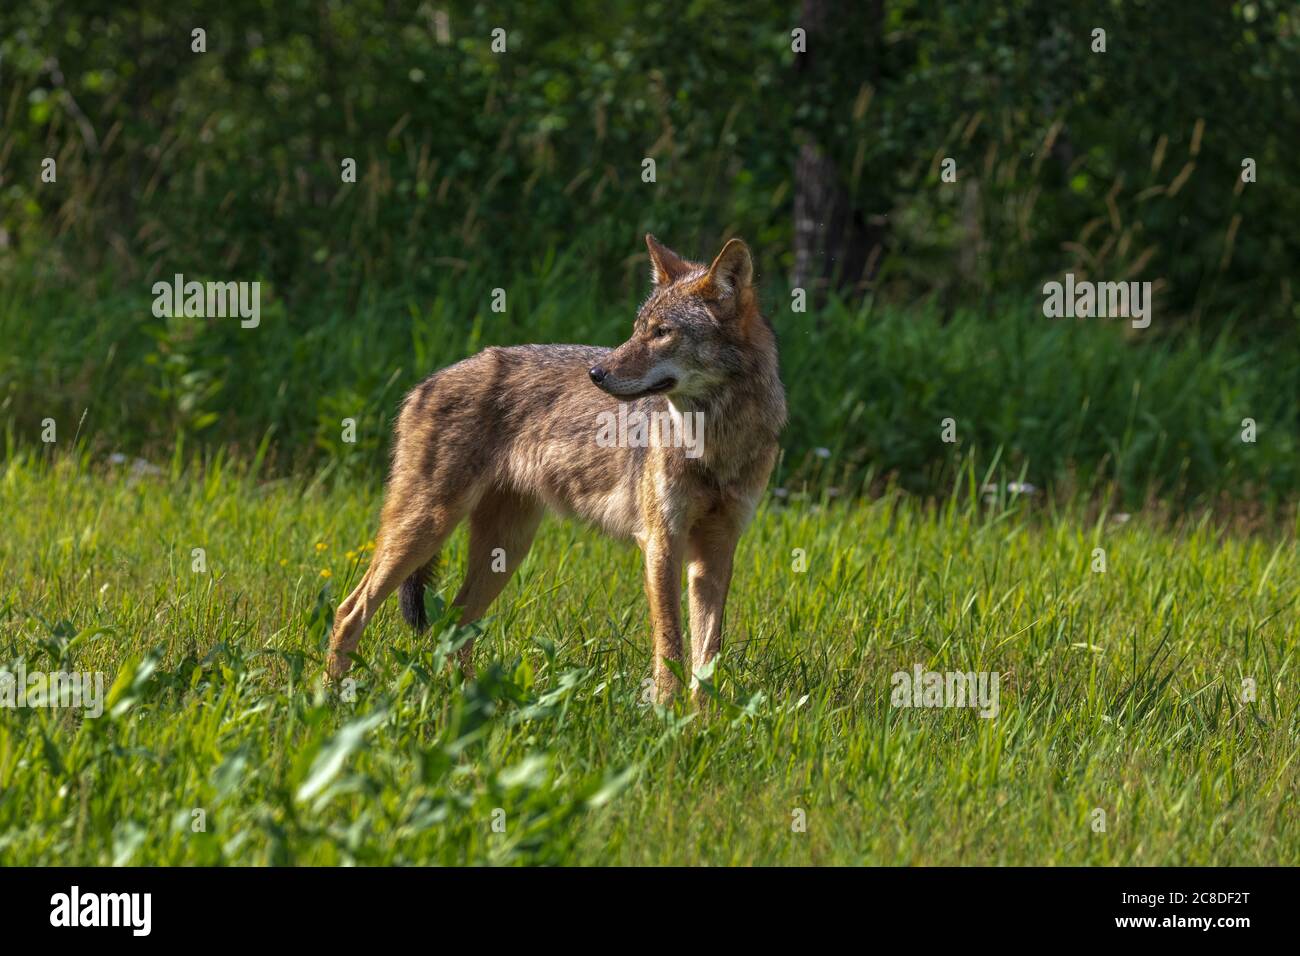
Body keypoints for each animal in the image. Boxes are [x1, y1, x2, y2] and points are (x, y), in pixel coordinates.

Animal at [325, 235, 786, 703]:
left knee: (453, 628)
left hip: (504, 550)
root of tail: (423, 383)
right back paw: (330, 701)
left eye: (662, 333)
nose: (596, 373)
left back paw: (475, 706)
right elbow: (670, 648)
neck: (715, 442)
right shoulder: (661, 543)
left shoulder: (717, 551)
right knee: (349, 611)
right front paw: (666, 714)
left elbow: (706, 657)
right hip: (427, 529)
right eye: (638, 328)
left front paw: (701, 719)